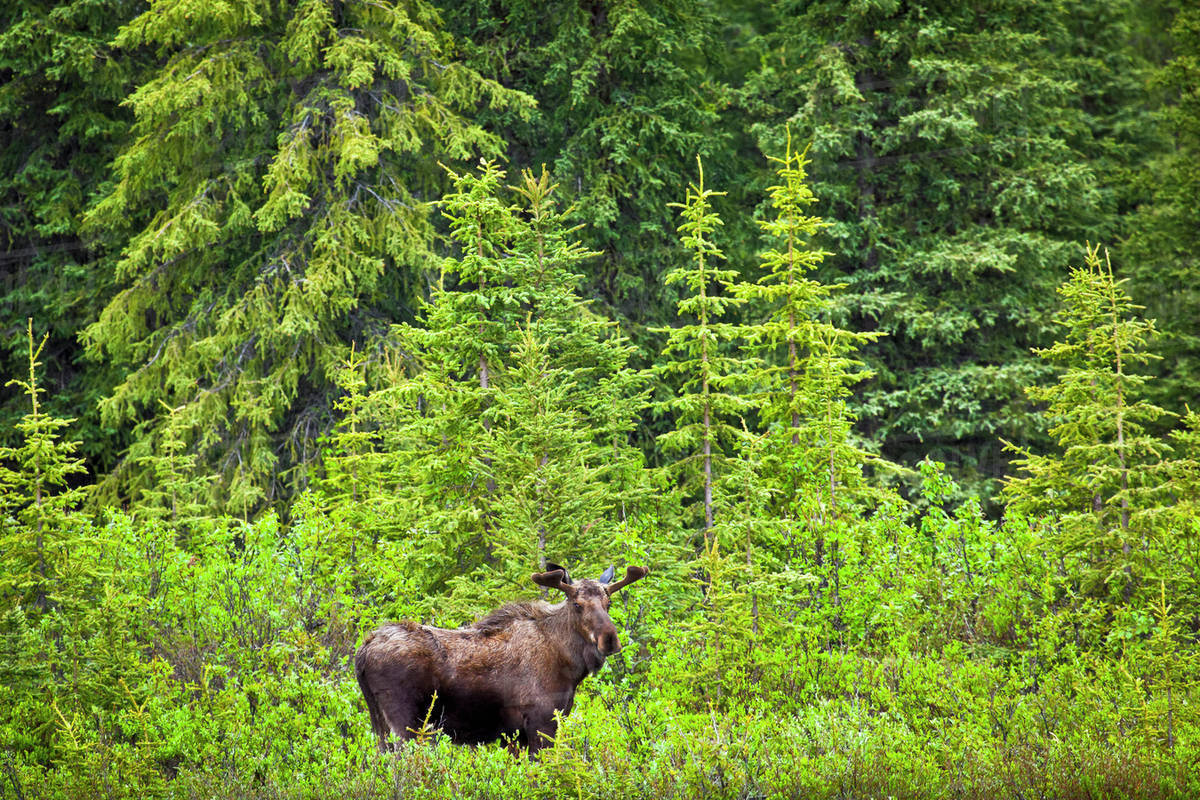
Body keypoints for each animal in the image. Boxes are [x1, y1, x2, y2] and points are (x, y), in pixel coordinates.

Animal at [354, 564, 649, 752]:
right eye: (577, 605)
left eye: (608, 603)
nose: (609, 639)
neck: (569, 667)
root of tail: (363, 651)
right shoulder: (541, 721)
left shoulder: (514, 734)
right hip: (406, 722)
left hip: (381, 723)